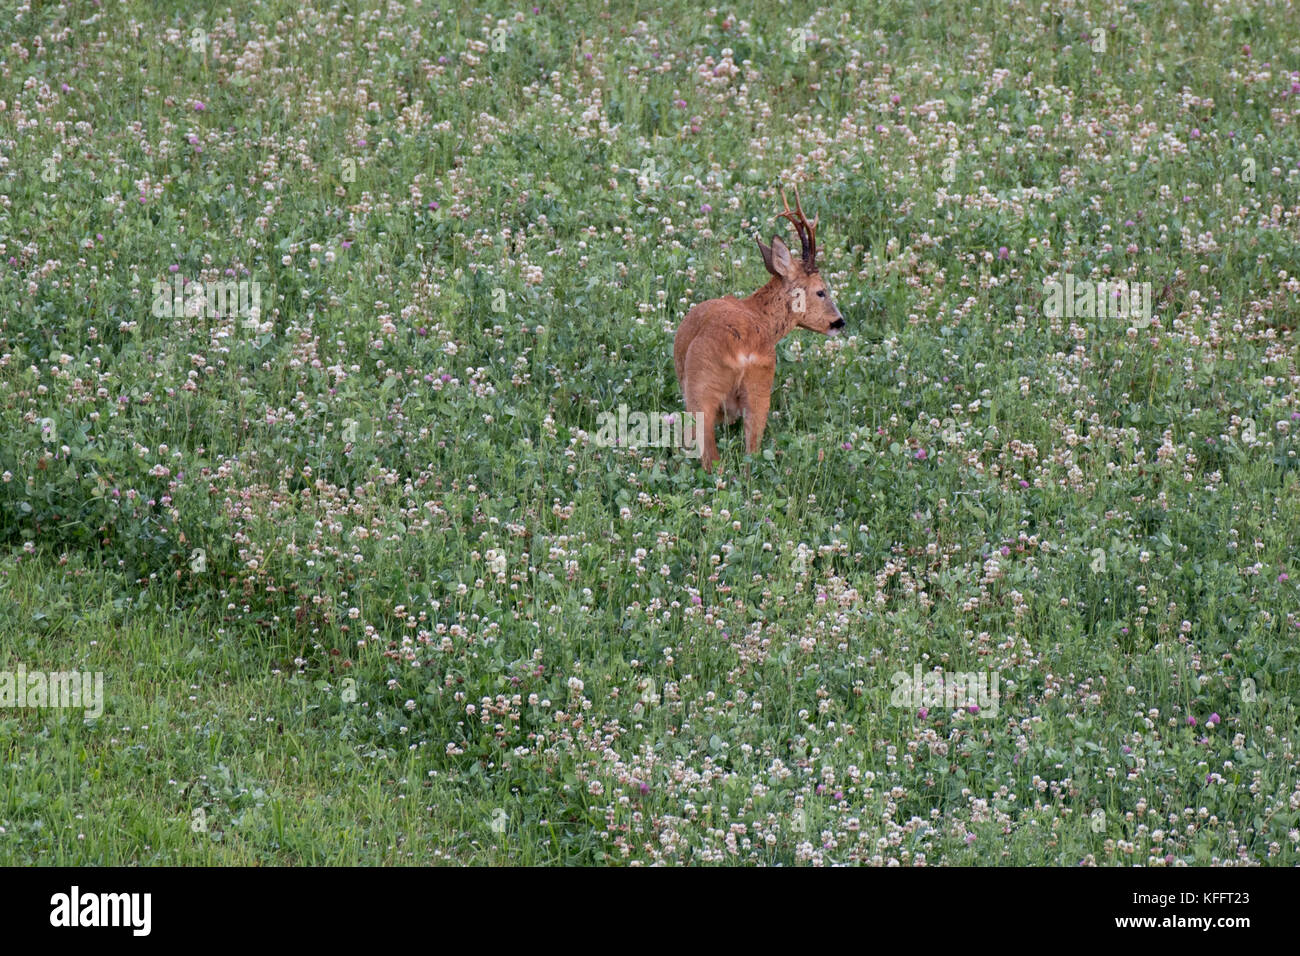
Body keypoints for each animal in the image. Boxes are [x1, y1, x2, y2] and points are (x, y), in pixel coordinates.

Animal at [673, 184, 844, 472]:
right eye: (821, 291)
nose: (840, 322)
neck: (758, 314)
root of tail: (741, 349)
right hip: (758, 384)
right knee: (748, 453)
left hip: (703, 389)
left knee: (714, 457)